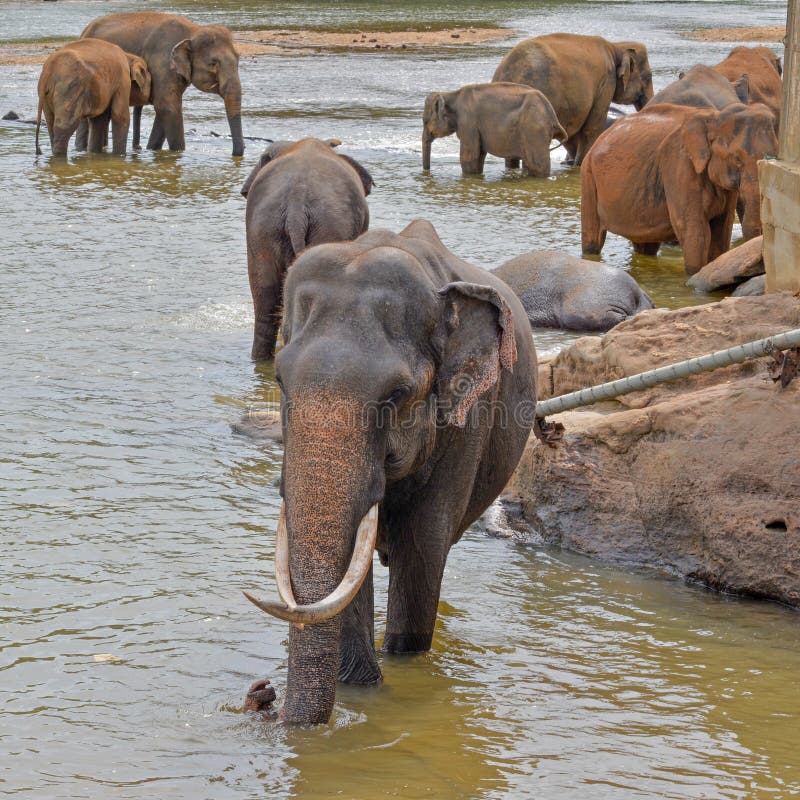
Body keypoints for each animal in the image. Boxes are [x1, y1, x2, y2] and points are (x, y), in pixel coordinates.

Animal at [78, 11, 244, 156]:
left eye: (238, 59)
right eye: (213, 64)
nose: (235, 155)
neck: (193, 30)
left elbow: (165, 110)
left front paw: (152, 149)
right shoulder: (163, 62)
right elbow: (167, 107)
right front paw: (178, 153)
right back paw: (81, 149)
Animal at [241, 219, 537, 725]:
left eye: (397, 394)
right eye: (279, 380)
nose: (263, 694)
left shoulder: (470, 419)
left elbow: (423, 542)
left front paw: (402, 664)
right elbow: (351, 573)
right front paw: (361, 684)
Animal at [421, 82, 567, 177]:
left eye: (424, 121)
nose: (427, 173)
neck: (452, 94)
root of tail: (552, 114)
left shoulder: (468, 123)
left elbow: (469, 157)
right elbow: (479, 155)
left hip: (533, 130)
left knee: (538, 164)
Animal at [492, 33, 654, 166]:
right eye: (648, 77)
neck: (616, 47)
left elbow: (571, 132)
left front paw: (571, 163)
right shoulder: (606, 83)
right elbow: (592, 128)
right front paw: (578, 165)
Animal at [581, 103, 778, 274]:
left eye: (775, 156)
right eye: (737, 159)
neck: (714, 117)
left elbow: (722, 229)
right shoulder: (679, 165)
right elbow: (695, 230)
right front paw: (694, 275)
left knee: (645, 244)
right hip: (588, 175)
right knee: (593, 240)